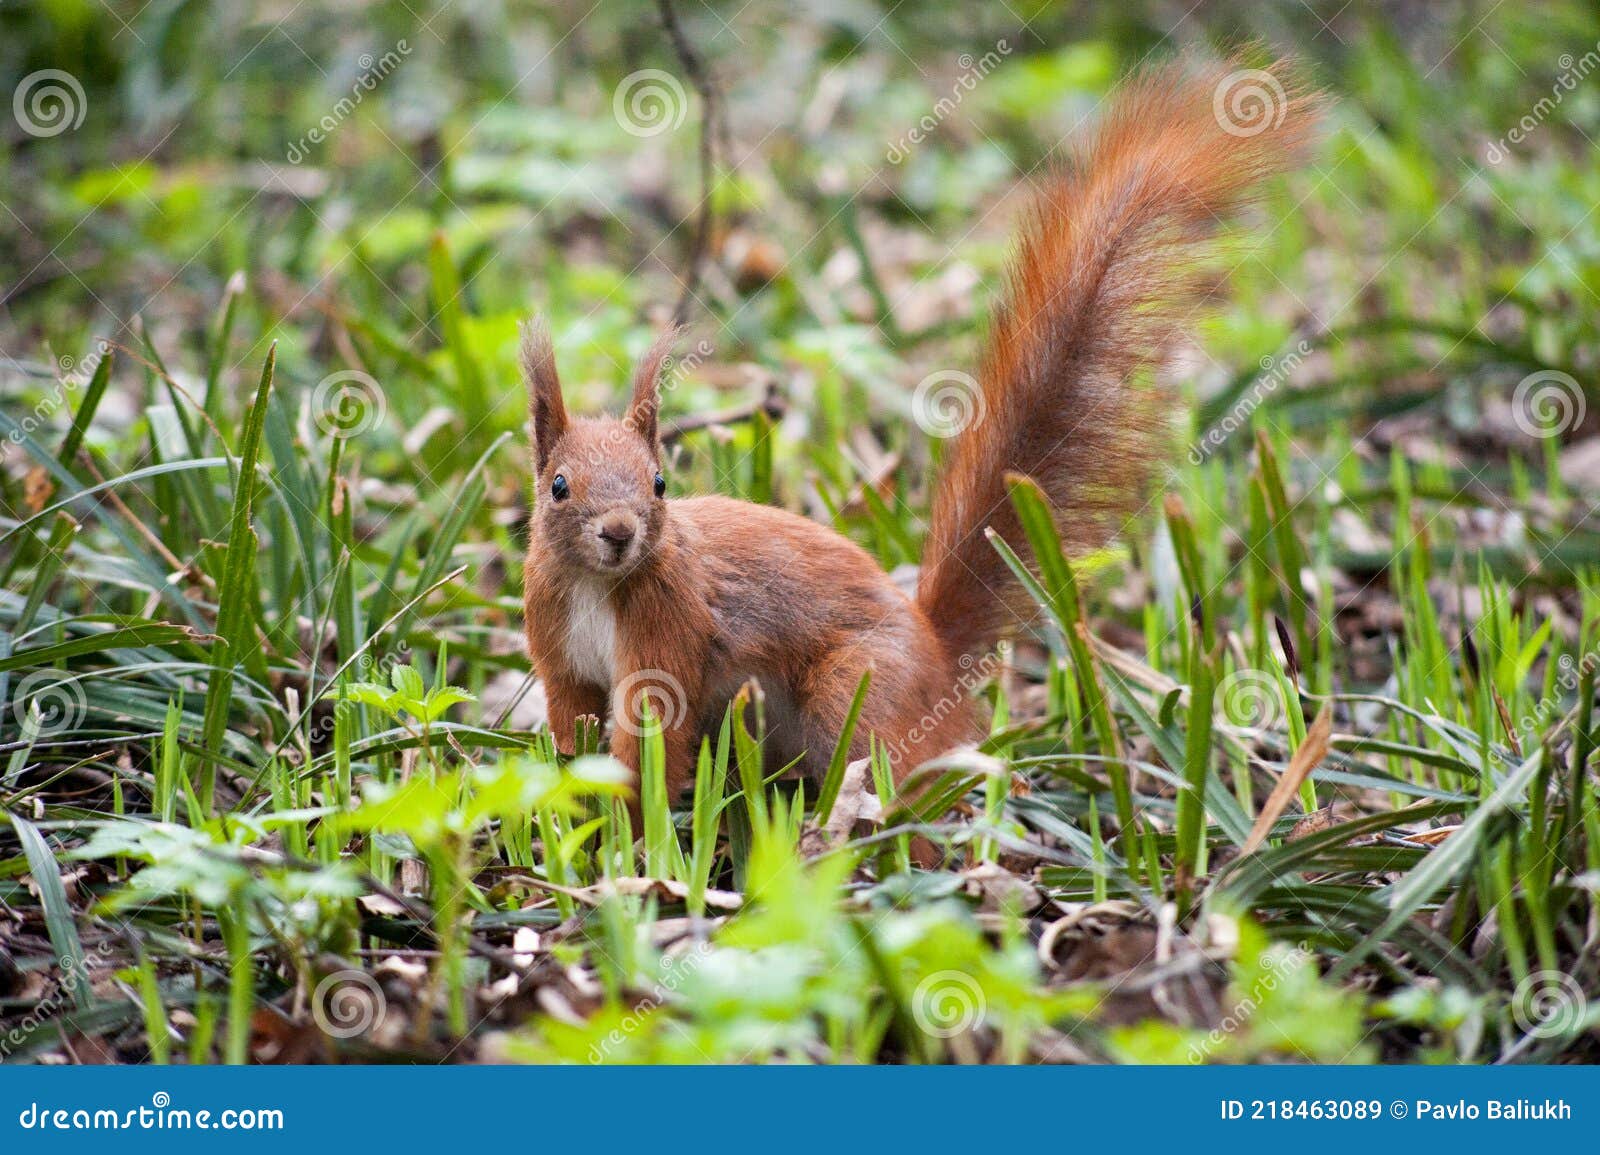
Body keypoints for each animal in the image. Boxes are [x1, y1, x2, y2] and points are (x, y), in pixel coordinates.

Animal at [521, 56, 1319, 817]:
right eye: (557, 486)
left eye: (660, 482)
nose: (620, 532)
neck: (598, 584)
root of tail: (933, 647)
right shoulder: (558, 647)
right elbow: (573, 726)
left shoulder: (667, 626)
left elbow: (651, 735)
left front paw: (626, 829)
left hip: (858, 691)